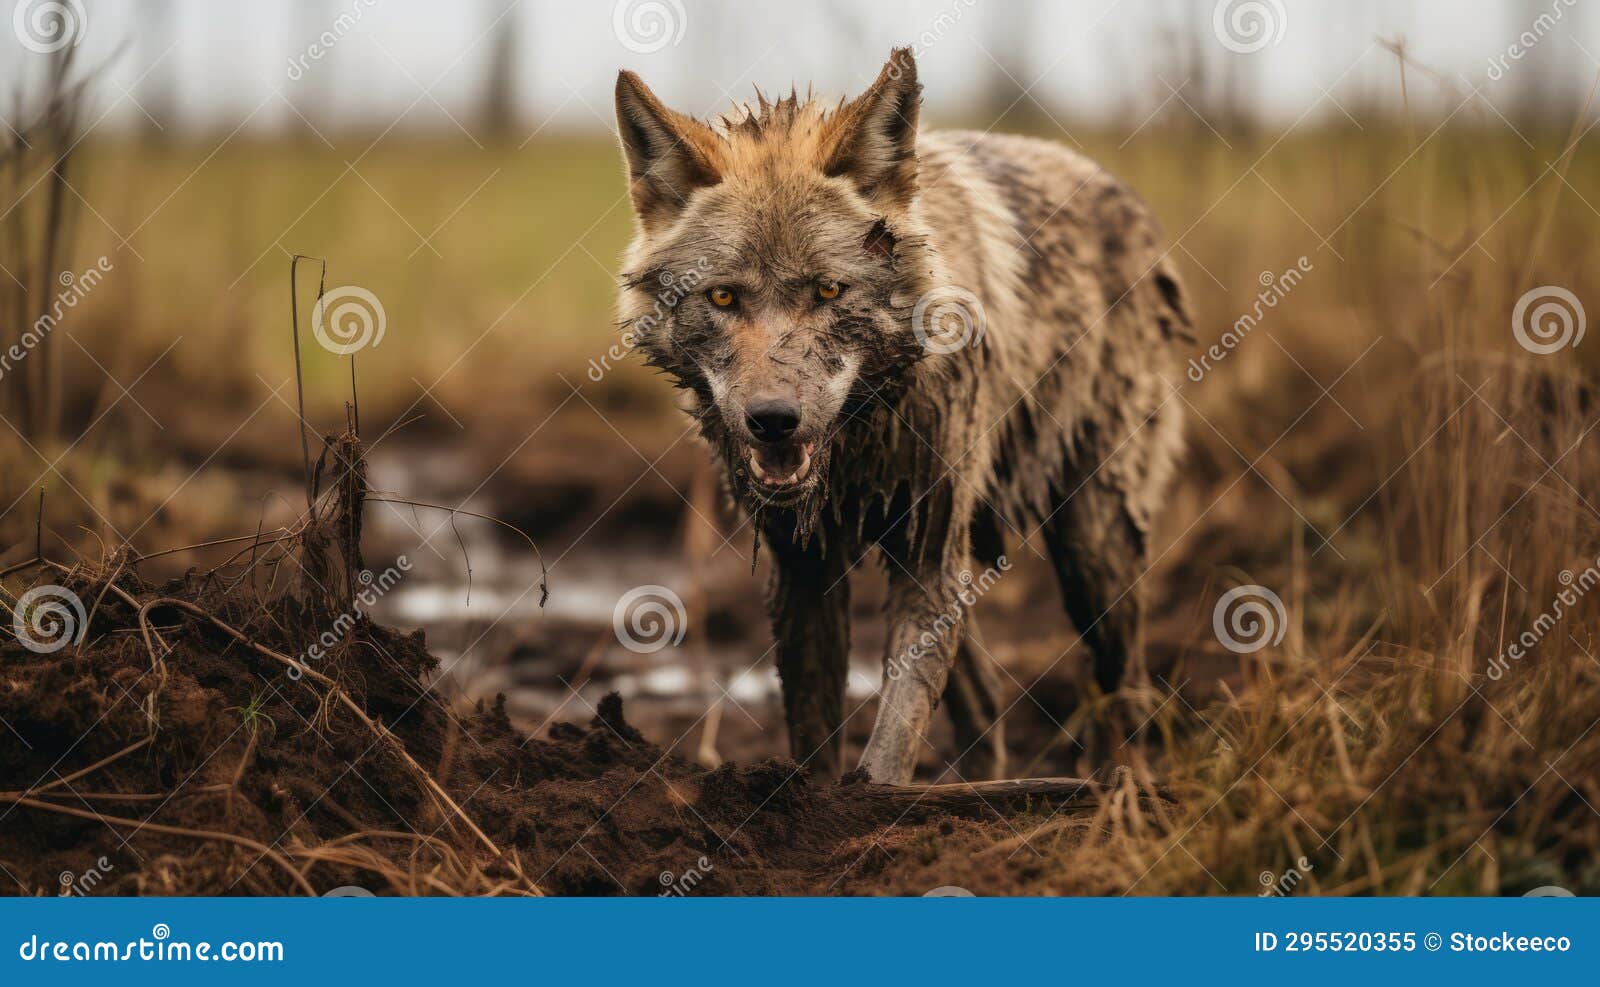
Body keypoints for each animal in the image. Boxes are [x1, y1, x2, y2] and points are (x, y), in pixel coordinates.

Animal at [613, 49, 1192, 785]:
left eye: (829, 290)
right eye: (722, 297)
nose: (773, 419)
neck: (867, 425)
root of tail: (1129, 200)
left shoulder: (928, 556)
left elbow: (897, 726)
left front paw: (873, 797)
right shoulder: (802, 566)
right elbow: (816, 731)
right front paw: (810, 801)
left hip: (1092, 546)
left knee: (1127, 687)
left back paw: (1121, 790)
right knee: (987, 698)